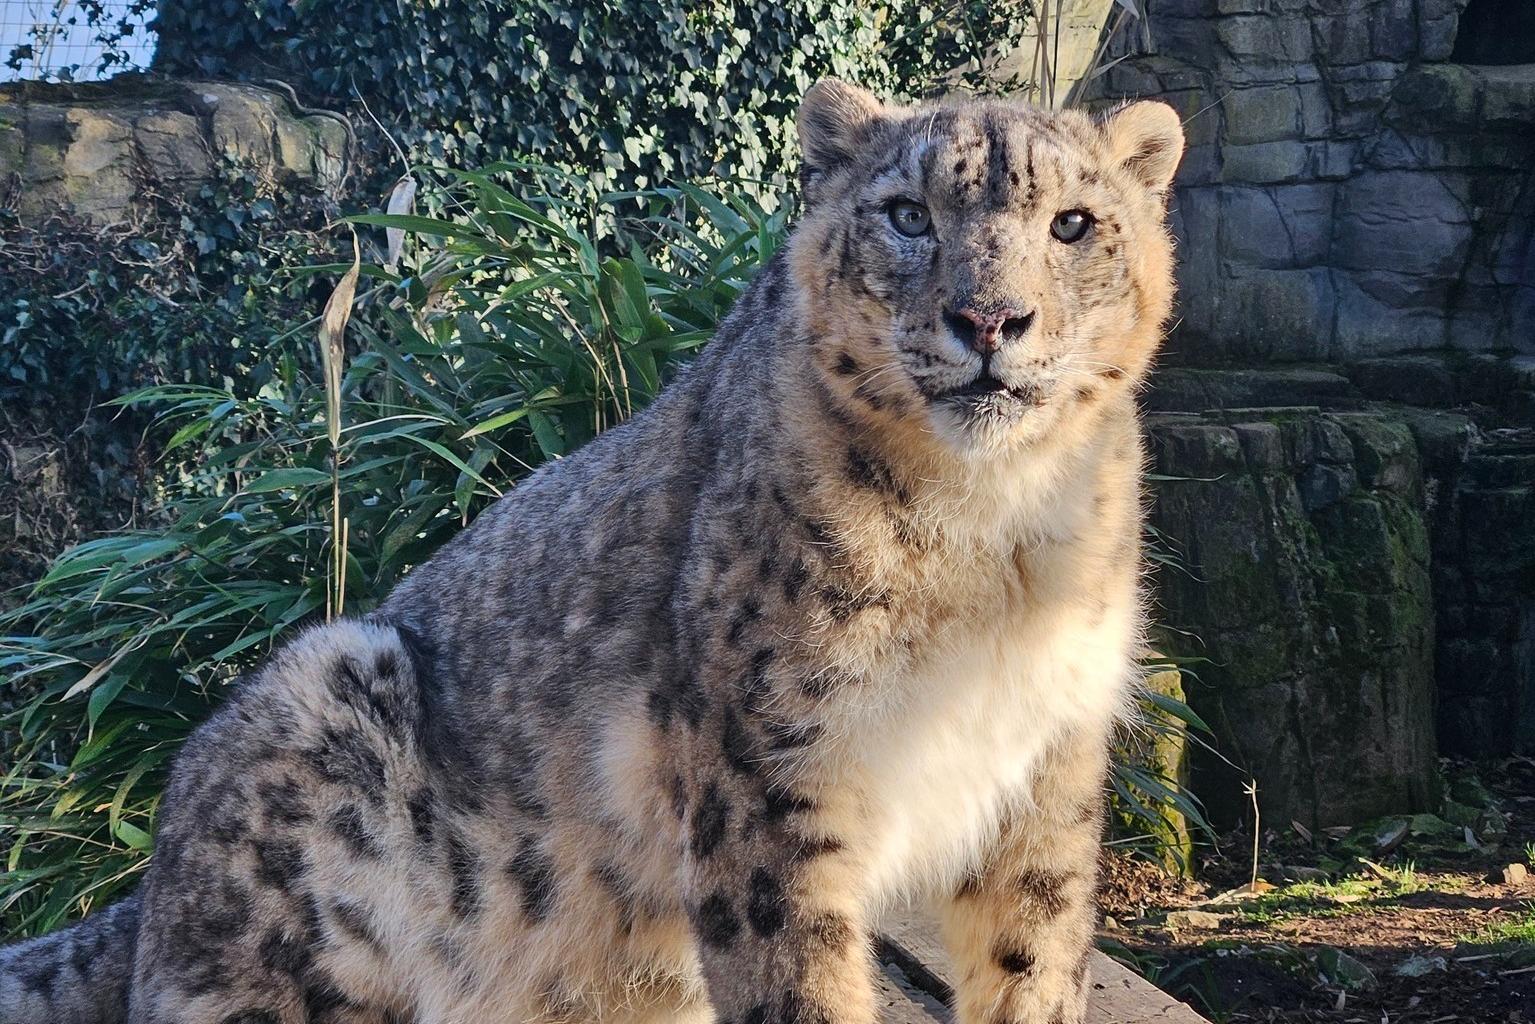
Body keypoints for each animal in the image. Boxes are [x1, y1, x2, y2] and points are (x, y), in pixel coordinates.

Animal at [0, 78, 1183, 1024]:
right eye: (905, 215)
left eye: (1073, 223)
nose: (988, 320)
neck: (995, 536)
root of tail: (151, 883)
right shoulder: (772, 772)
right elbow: (801, 982)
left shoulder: (1048, 761)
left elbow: (1033, 958)